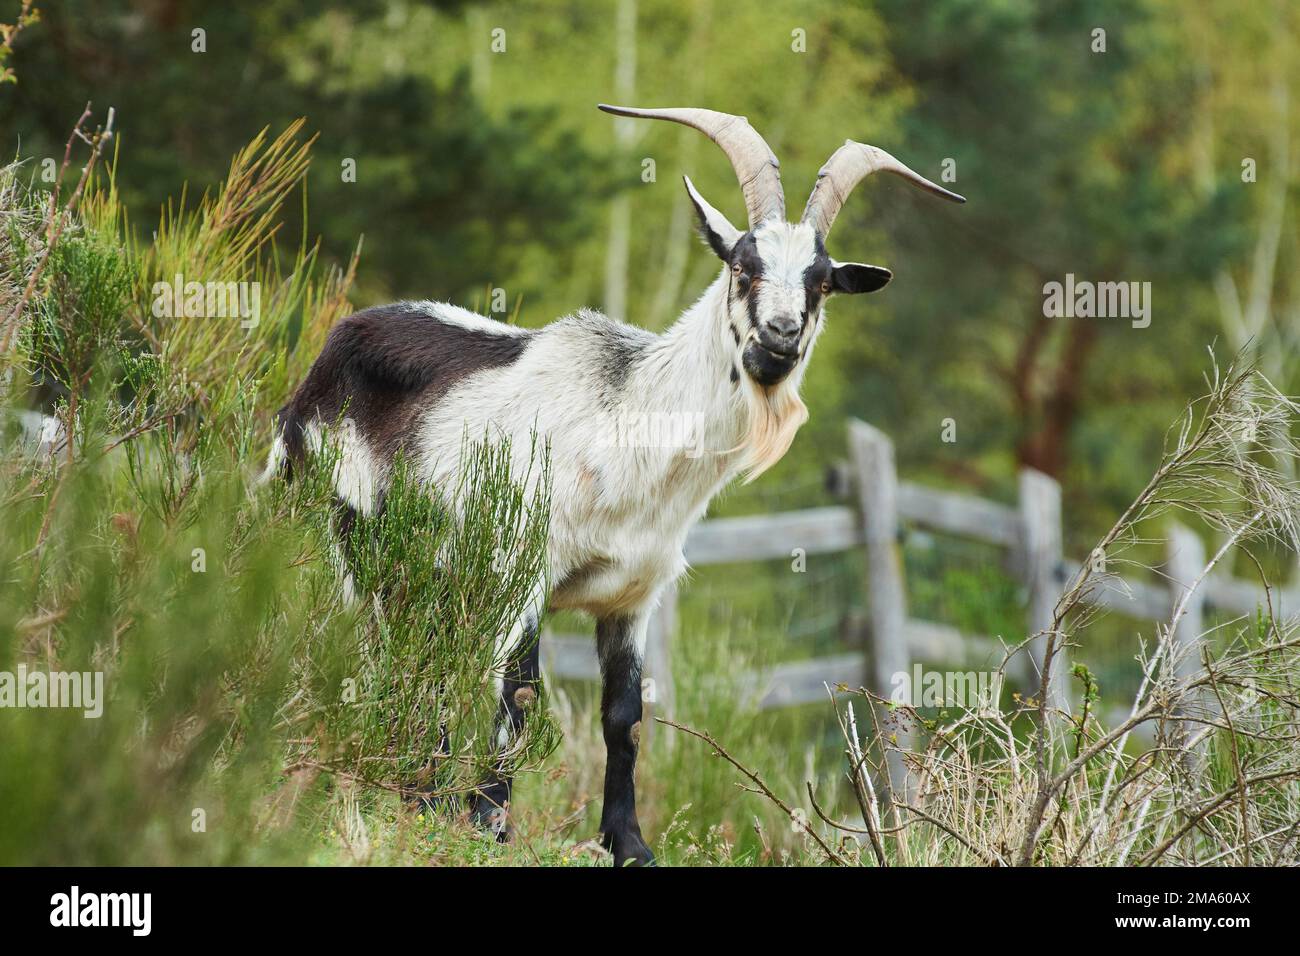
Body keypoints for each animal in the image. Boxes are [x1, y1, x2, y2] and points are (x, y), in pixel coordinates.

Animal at [268, 105, 964, 866]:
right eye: (743, 266)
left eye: (821, 282)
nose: (779, 338)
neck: (632, 416)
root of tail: (323, 362)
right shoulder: (525, 570)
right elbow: (518, 696)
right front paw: (492, 823)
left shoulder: (635, 597)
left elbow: (625, 718)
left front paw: (629, 843)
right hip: (347, 536)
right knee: (374, 654)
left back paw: (419, 795)